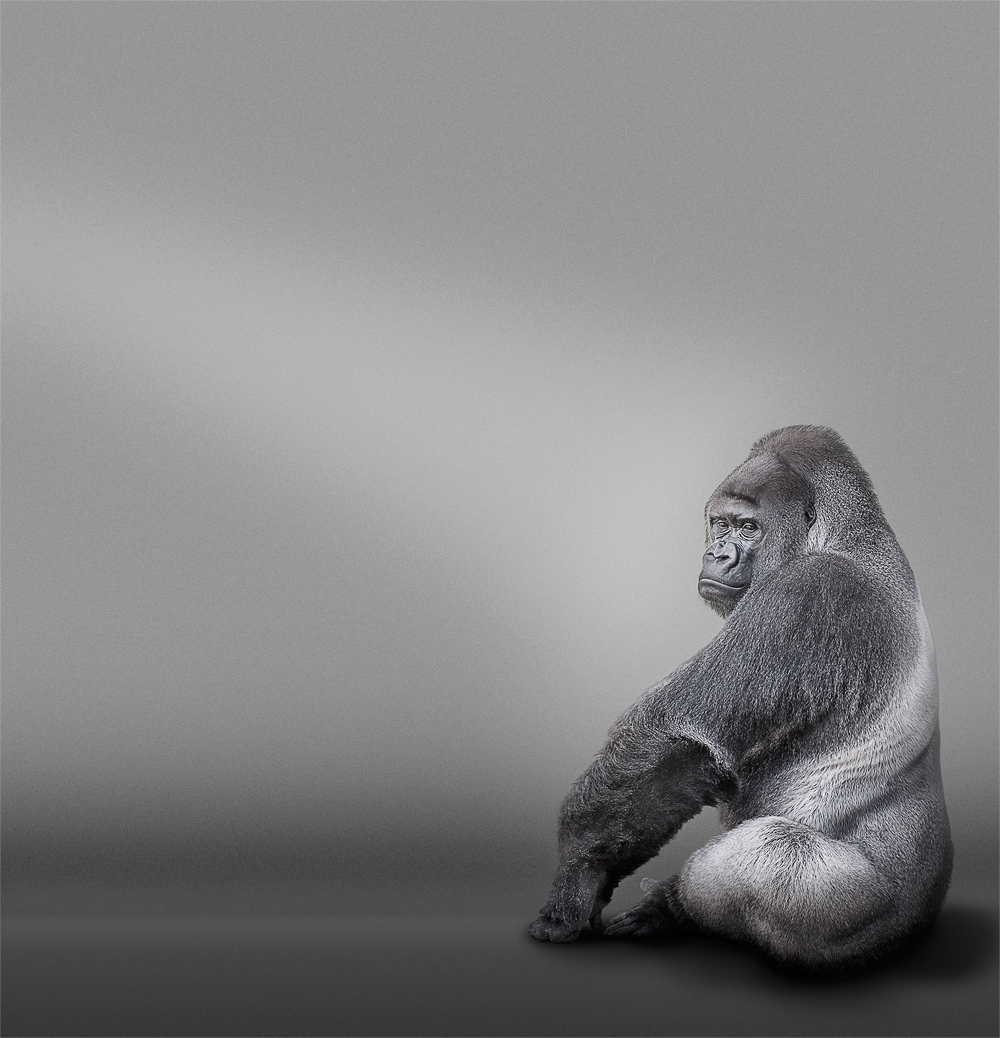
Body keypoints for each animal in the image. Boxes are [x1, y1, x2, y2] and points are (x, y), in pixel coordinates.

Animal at [529, 426, 951, 973]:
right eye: (720, 524)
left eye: (749, 528)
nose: (718, 554)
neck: (849, 537)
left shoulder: (805, 593)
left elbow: (677, 739)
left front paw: (580, 873)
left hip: (871, 927)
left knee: (776, 852)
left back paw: (674, 908)